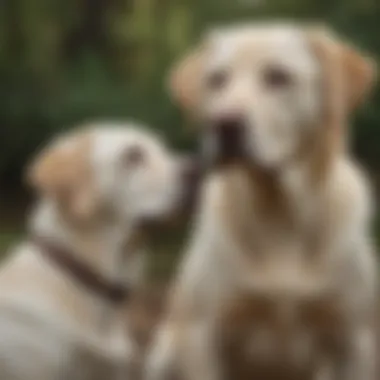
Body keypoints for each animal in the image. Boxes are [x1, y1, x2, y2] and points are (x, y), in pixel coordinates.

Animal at [147, 23, 378, 380]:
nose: (224, 124)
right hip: (165, 352)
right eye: (216, 79)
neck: (279, 212)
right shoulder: (202, 337)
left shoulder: (357, 341)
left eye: (279, 77)